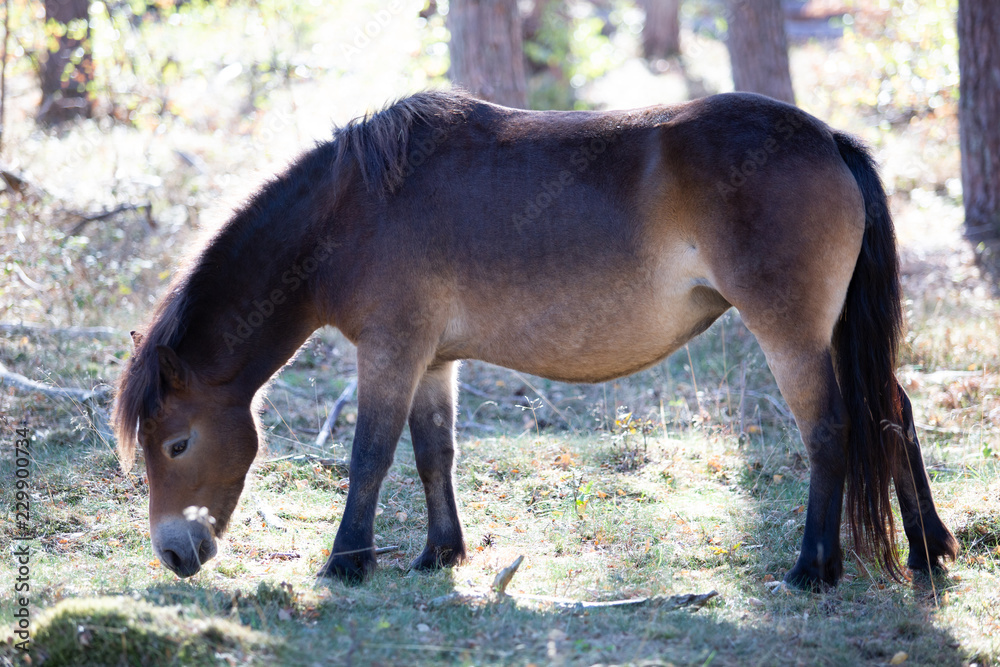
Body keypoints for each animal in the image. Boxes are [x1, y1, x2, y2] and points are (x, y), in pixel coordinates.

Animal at [113, 89, 958, 588]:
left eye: (177, 443)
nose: (173, 552)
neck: (353, 209)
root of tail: (828, 139)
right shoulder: (432, 359)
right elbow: (434, 452)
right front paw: (440, 553)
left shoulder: (389, 351)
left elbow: (370, 454)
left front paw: (346, 561)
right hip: (838, 334)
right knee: (894, 414)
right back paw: (929, 547)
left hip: (793, 335)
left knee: (830, 429)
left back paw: (814, 567)